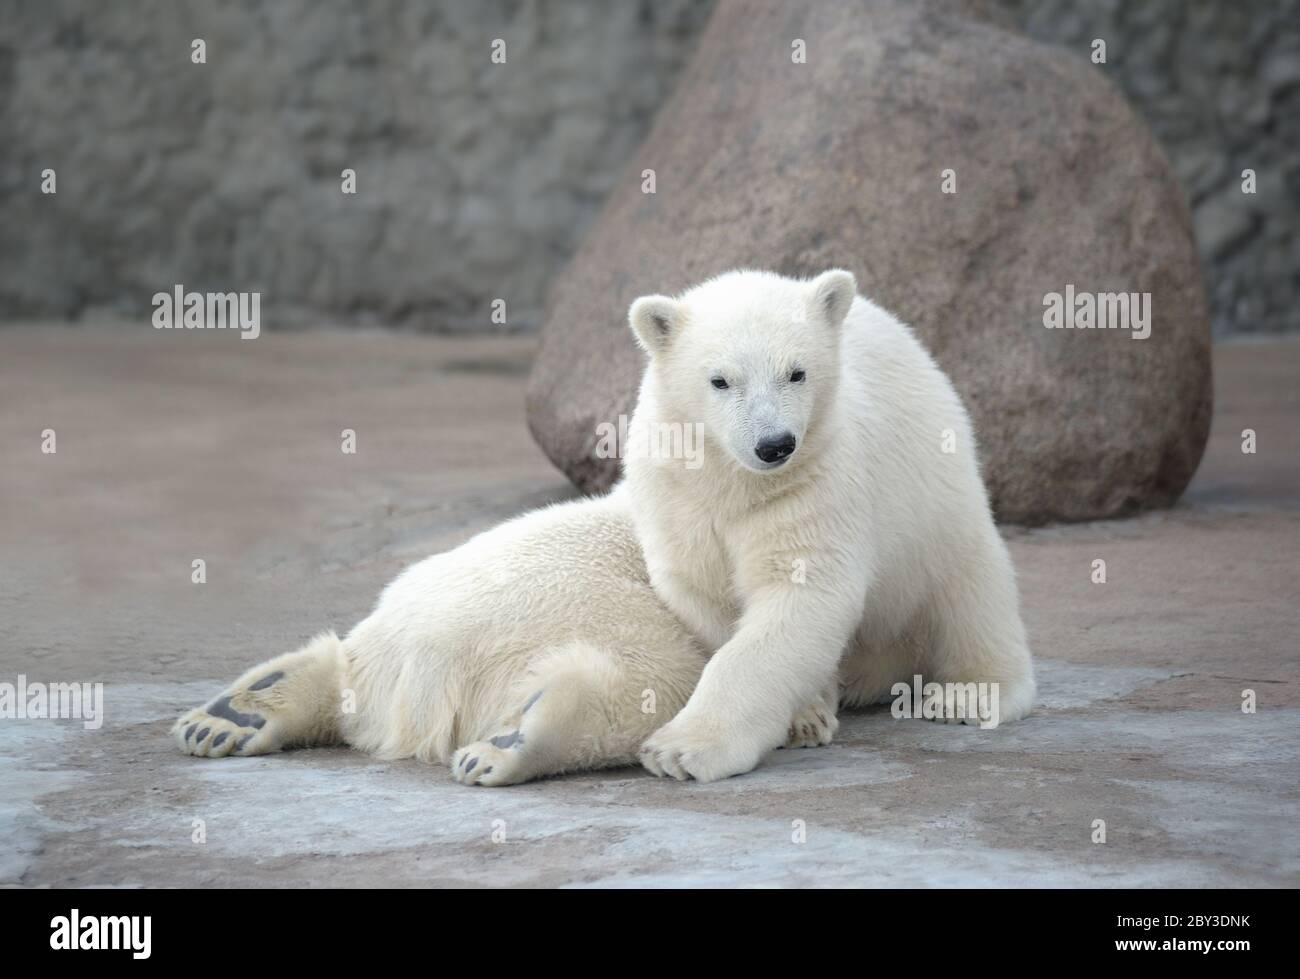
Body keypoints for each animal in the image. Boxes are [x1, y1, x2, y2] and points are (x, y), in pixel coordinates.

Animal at [624, 268, 1036, 783]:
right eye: (719, 380)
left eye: (796, 372)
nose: (775, 445)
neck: (733, 480)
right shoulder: (679, 495)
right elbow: (706, 593)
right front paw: (805, 716)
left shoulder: (815, 478)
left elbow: (802, 589)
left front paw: (680, 751)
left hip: (937, 509)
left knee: (971, 592)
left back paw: (969, 693)